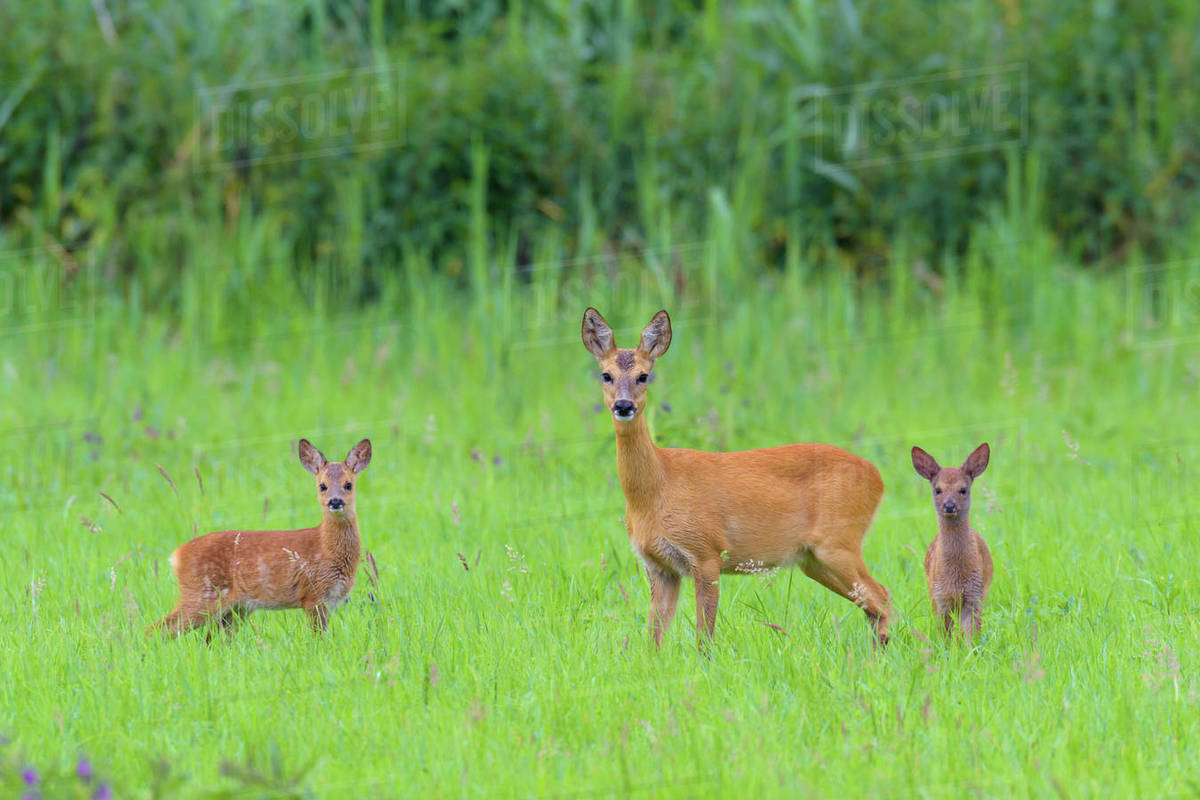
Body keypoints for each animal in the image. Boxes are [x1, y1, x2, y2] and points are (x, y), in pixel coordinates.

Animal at [152, 438, 372, 637]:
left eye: (348, 484)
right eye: (322, 486)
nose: (335, 501)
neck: (326, 547)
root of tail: (177, 555)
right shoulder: (313, 594)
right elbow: (319, 636)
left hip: (235, 607)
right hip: (202, 594)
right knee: (157, 630)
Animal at [581, 308, 892, 649]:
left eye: (643, 376)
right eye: (605, 375)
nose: (624, 405)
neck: (657, 488)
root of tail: (877, 477)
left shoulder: (706, 550)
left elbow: (705, 637)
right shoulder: (659, 566)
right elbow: (653, 638)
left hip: (839, 542)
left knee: (881, 596)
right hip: (812, 559)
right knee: (874, 603)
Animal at [910, 443, 992, 641]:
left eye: (963, 490)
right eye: (937, 490)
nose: (949, 506)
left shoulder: (974, 595)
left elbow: (972, 634)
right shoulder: (940, 597)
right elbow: (945, 636)